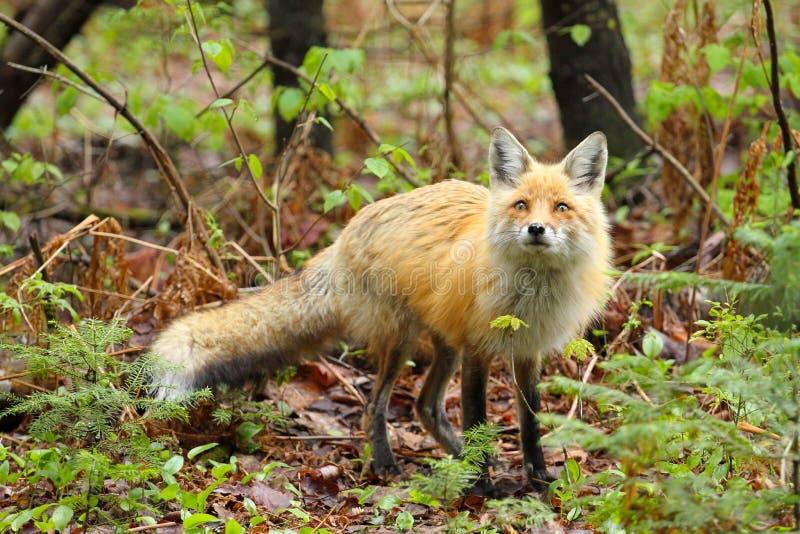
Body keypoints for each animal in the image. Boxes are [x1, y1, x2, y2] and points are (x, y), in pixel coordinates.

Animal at [150, 127, 611, 491]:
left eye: (561, 207)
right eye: (521, 205)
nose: (536, 229)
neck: (531, 294)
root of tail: (346, 232)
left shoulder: (528, 351)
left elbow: (531, 423)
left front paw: (538, 480)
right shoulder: (478, 349)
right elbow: (478, 419)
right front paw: (482, 487)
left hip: (444, 345)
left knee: (426, 407)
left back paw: (453, 456)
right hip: (404, 340)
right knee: (376, 406)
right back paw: (388, 465)